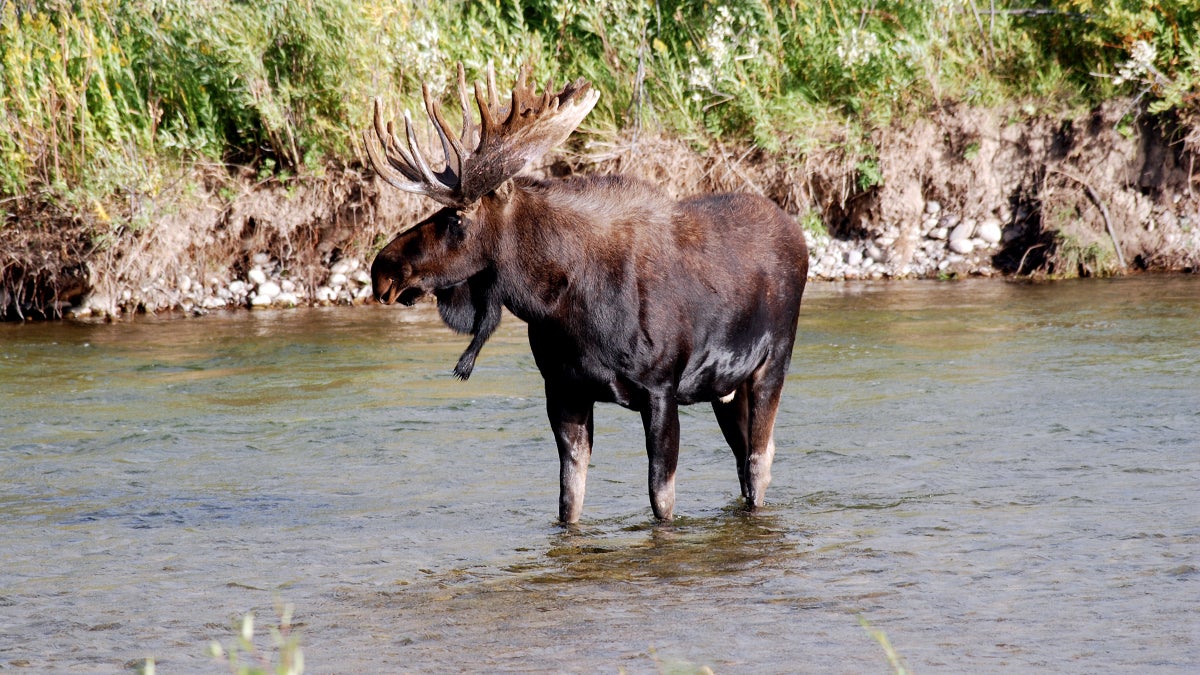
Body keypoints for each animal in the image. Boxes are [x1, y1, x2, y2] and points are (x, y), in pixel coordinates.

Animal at [365, 63, 808, 523]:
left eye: (456, 219)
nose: (382, 270)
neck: (562, 308)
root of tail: (798, 233)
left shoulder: (660, 388)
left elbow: (661, 498)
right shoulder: (564, 390)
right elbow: (568, 499)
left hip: (772, 362)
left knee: (759, 460)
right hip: (725, 387)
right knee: (745, 458)